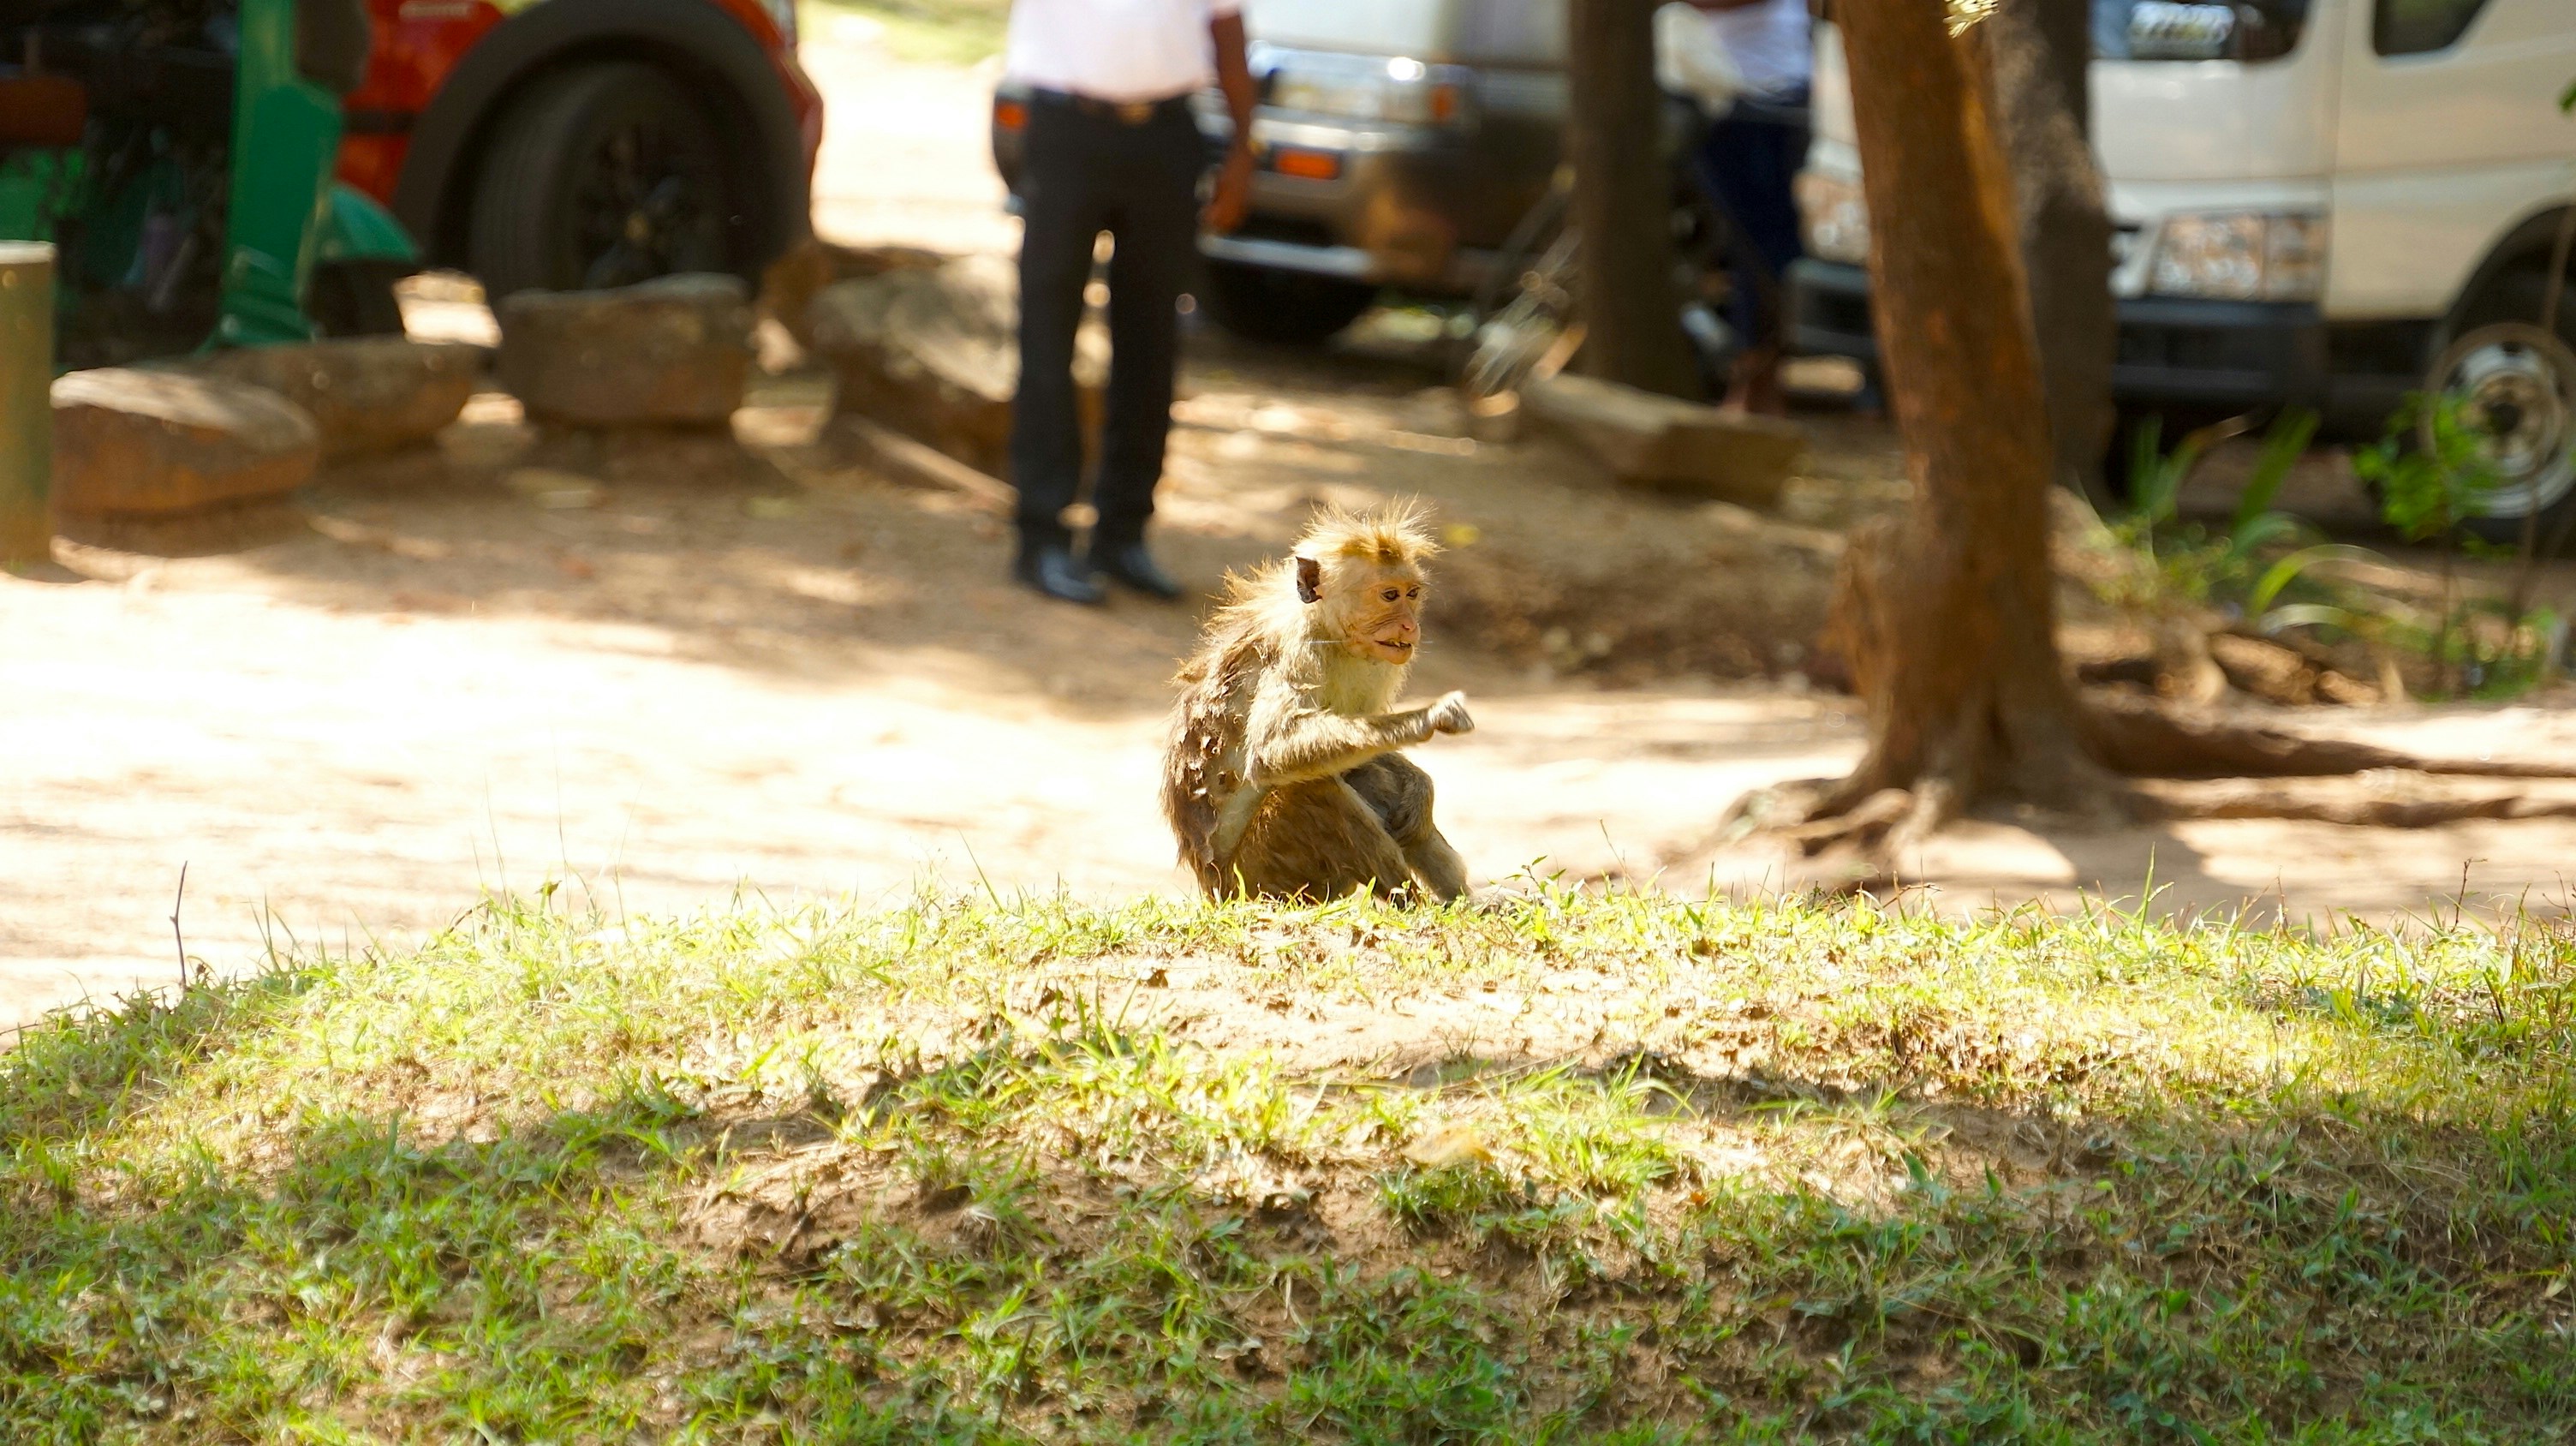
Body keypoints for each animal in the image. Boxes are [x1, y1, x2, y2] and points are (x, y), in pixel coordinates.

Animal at [1162, 503, 1475, 903]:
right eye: (1390, 595)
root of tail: (1214, 891)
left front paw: (1421, 786)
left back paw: (1465, 902)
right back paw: (1413, 905)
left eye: (1413, 593)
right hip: (1260, 877)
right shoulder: (1297, 650)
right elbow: (1272, 751)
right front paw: (1426, 718)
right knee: (1311, 788)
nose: (1409, 626)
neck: (1332, 634)